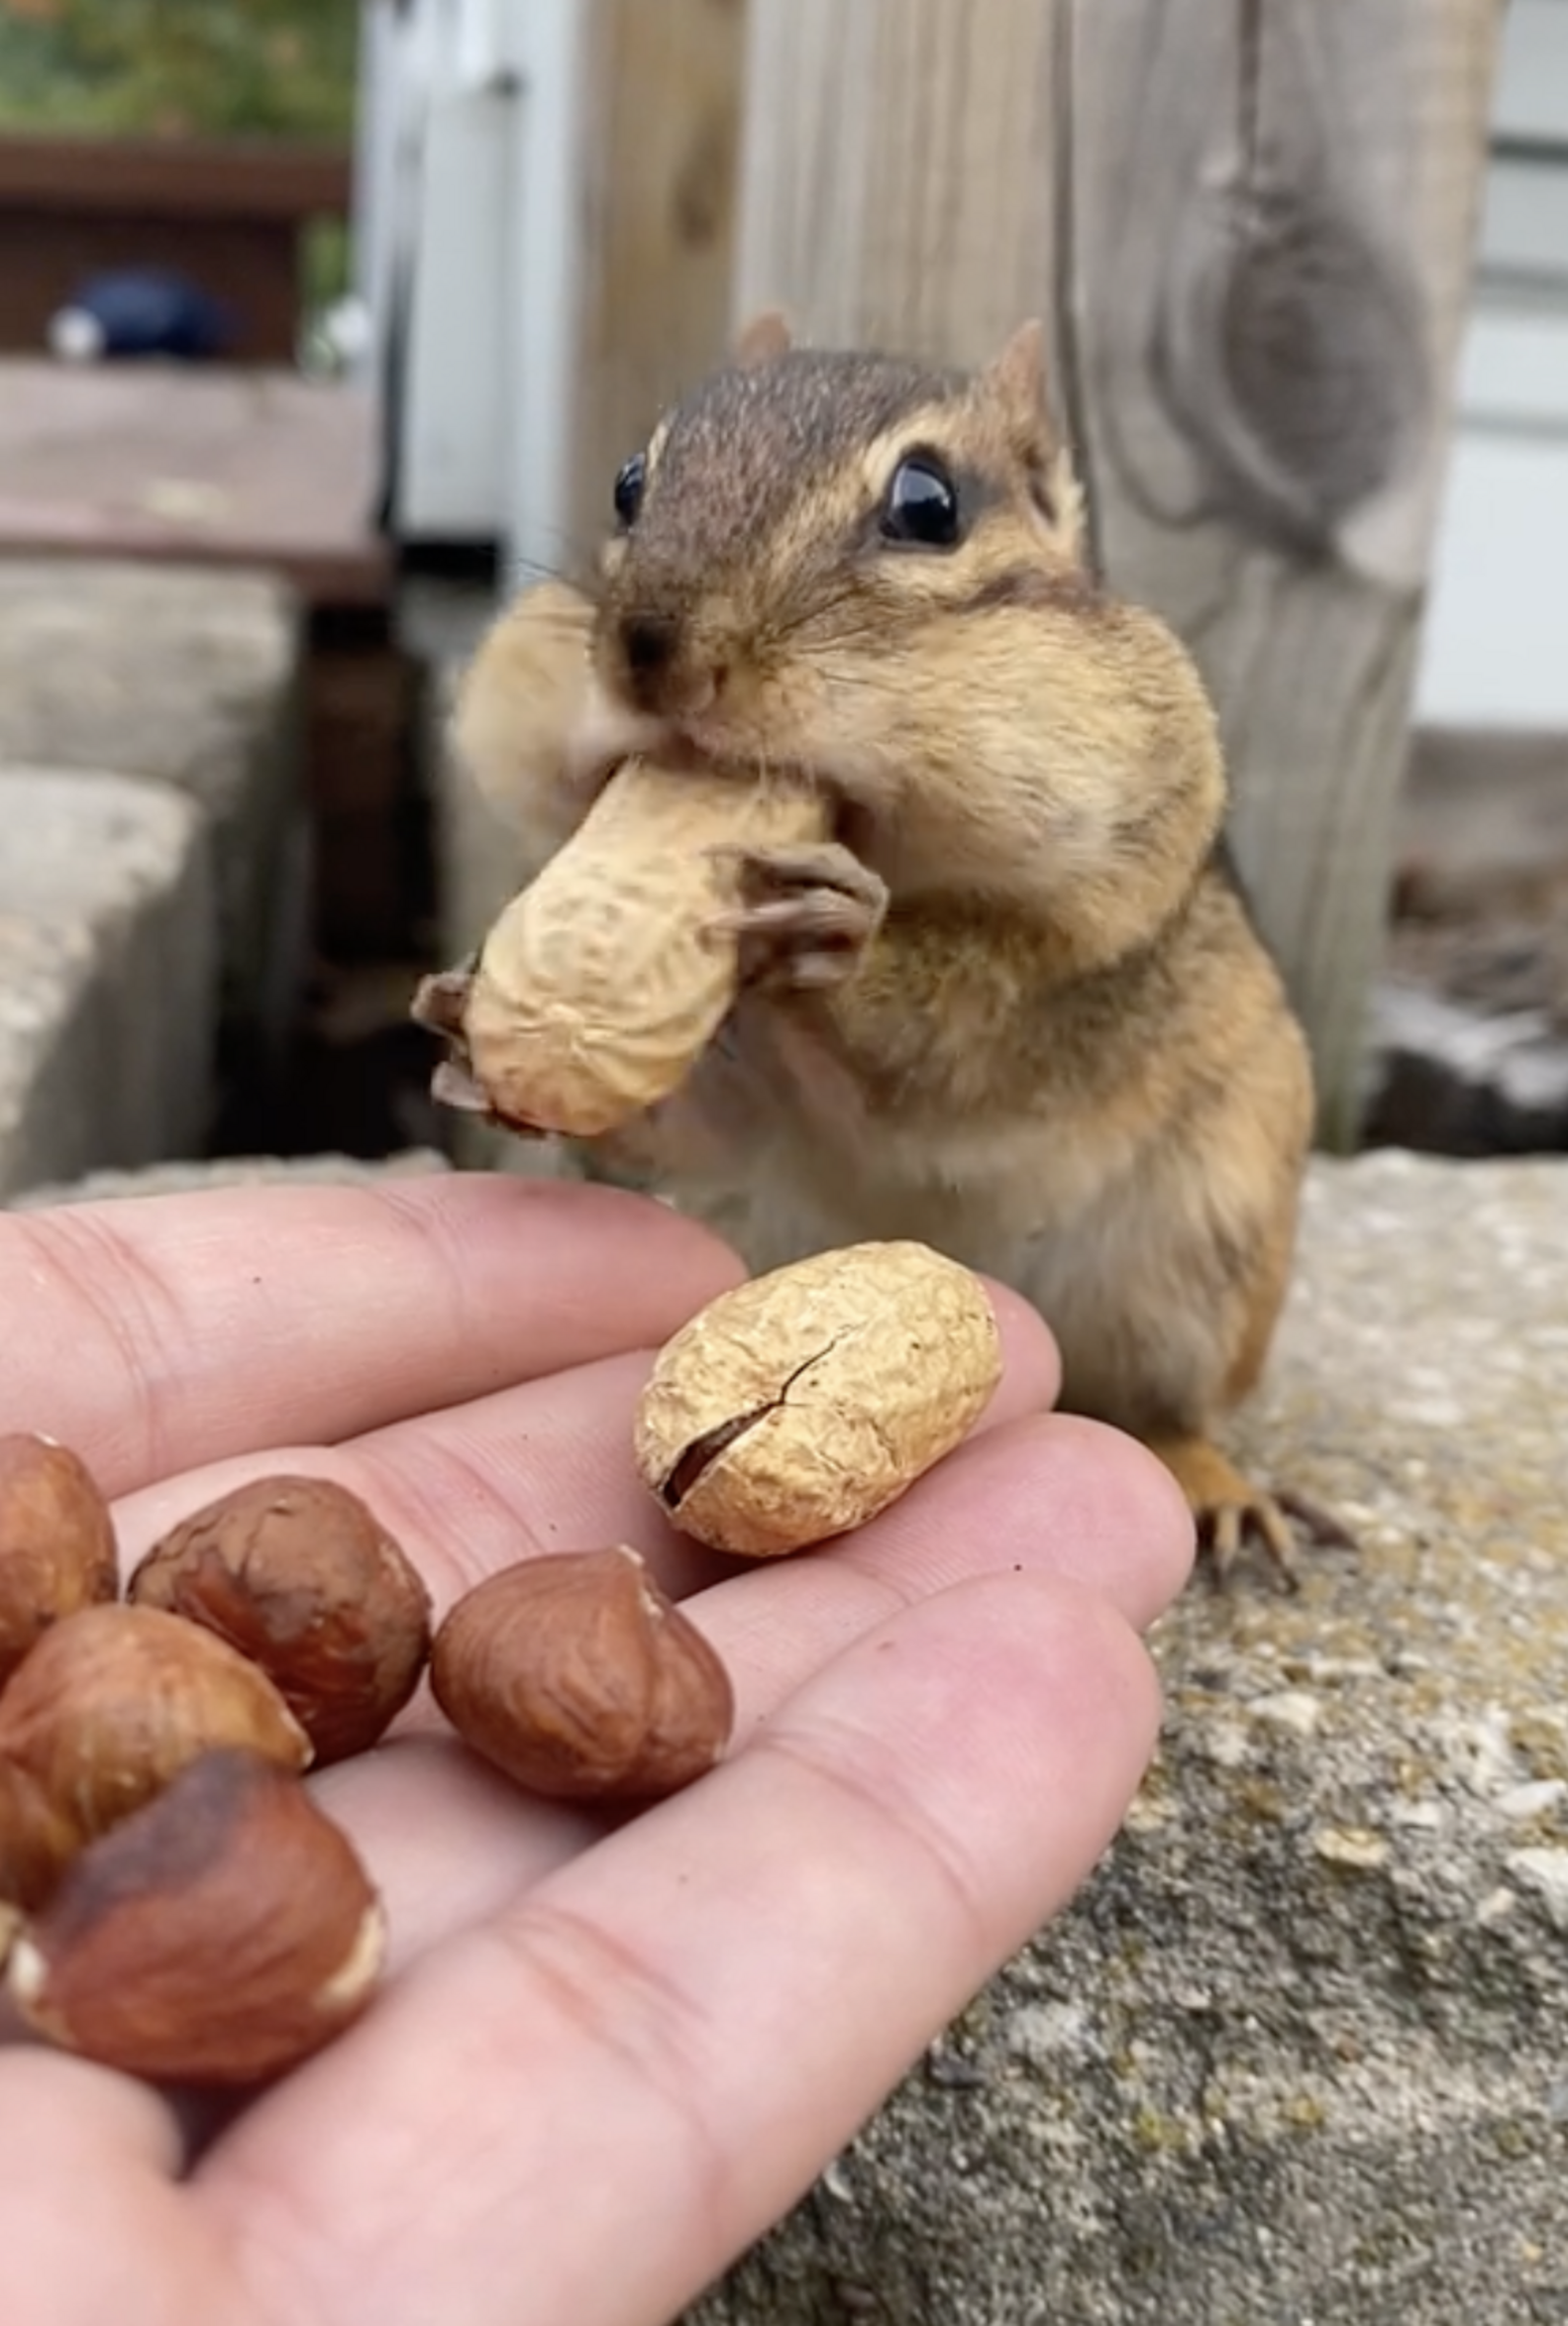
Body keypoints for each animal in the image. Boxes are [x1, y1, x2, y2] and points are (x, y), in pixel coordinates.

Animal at [442, 310, 1347, 1589]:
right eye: (627, 482)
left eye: (929, 504)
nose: (647, 648)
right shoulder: (733, 1106)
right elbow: (689, 1113)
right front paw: (462, 1019)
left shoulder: (1063, 974)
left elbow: (957, 1037)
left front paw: (841, 933)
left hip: (1199, 1250)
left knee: (1164, 1411)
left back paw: (1216, 1487)